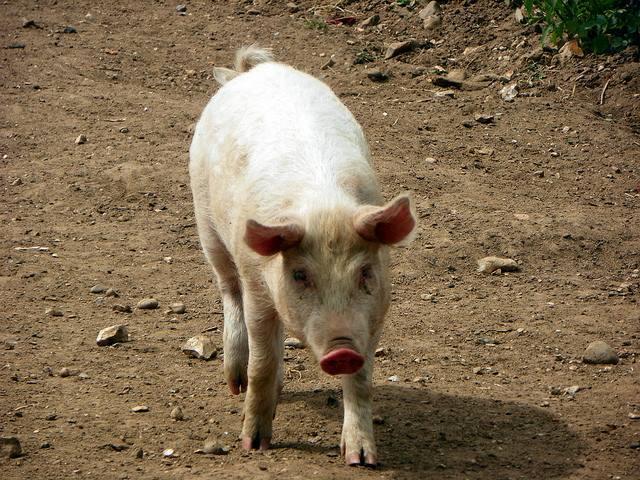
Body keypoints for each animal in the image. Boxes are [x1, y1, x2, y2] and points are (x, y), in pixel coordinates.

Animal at [189, 46, 417, 467]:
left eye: (365, 272)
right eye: (300, 275)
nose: (341, 351)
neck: (322, 208)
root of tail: (252, 71)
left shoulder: (375, 312)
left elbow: (362, 382)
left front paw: (361, 459)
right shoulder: (258, 286)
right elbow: (262, 363)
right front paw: (254, 445)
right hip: (206, 222)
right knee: (228, 290)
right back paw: (235, 382)